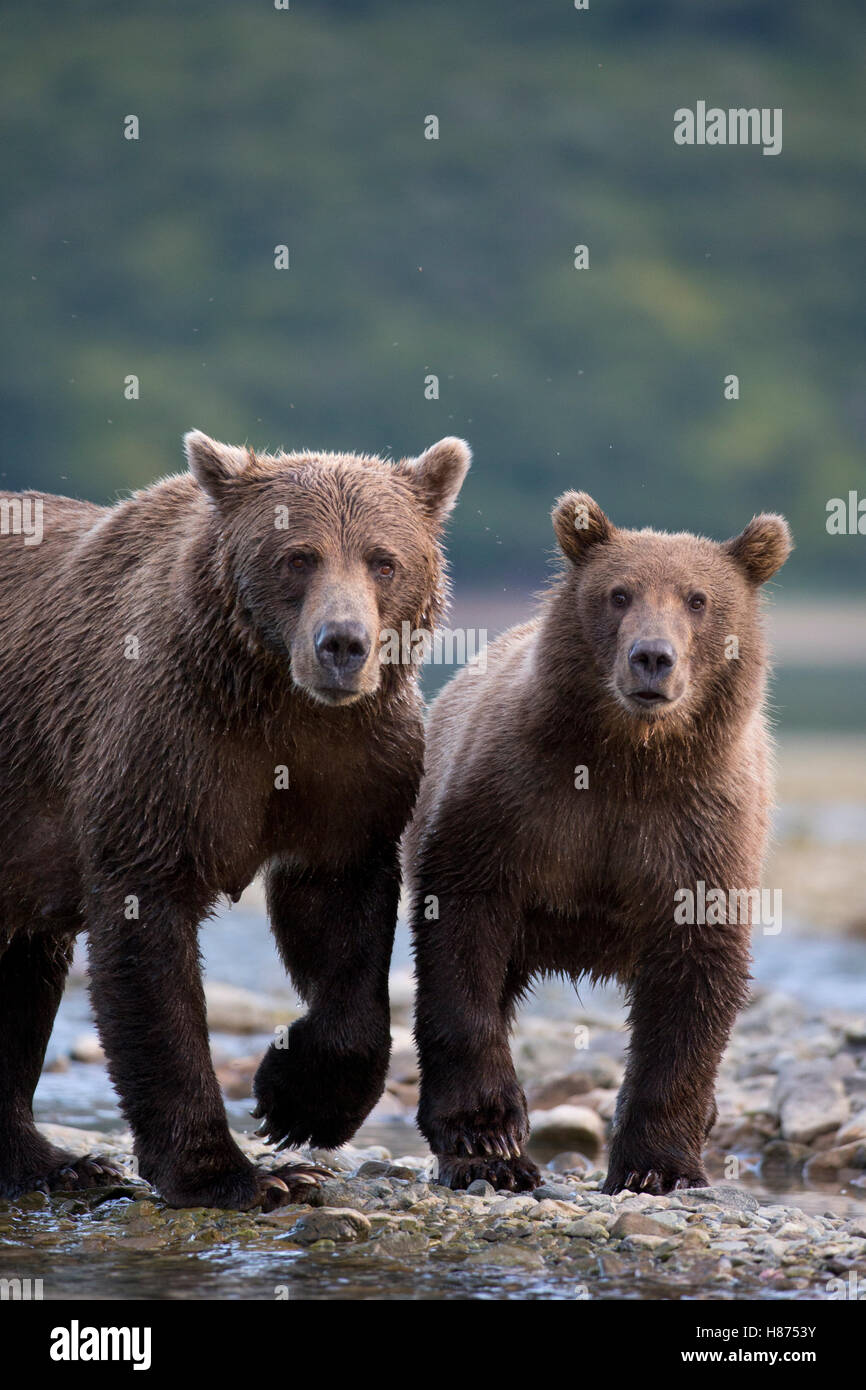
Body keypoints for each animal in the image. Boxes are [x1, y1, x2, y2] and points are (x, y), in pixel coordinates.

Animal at [0, 430, 470, 1209]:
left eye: (383, 559)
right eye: (298, 556)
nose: (342, 643)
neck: (273, 702)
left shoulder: (352, 769)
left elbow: (342, 924)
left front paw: (299, 1105)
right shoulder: (165, 755)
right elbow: (151, 957)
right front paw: (235, 1174)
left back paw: (52, 1162)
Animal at [406, 492, 792, 1194]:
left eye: (698, 598)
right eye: (619, 593)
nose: (652, 657)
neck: (628, 759)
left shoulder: (697, 831)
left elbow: (694, 981)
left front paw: (657, 1166)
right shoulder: (513, 804)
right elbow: (463, 942)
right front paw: (490, 1140)